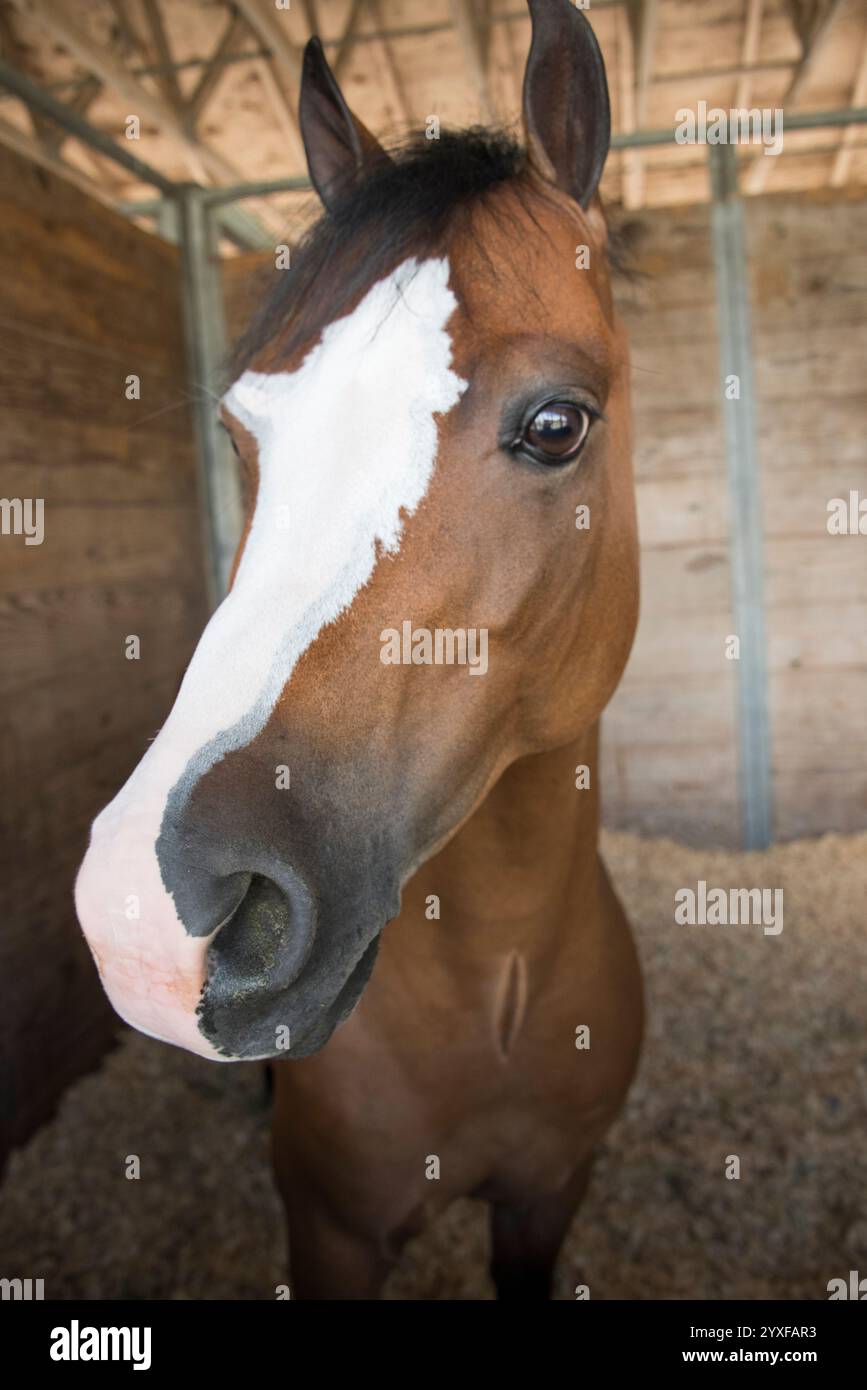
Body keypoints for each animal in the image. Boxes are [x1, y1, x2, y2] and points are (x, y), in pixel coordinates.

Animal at [75, 0, 642, 1299]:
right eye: (243, 432)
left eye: (557, 424)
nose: (146, 913)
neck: (500, 990)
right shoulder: (330, 1226)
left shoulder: (553, 1193)